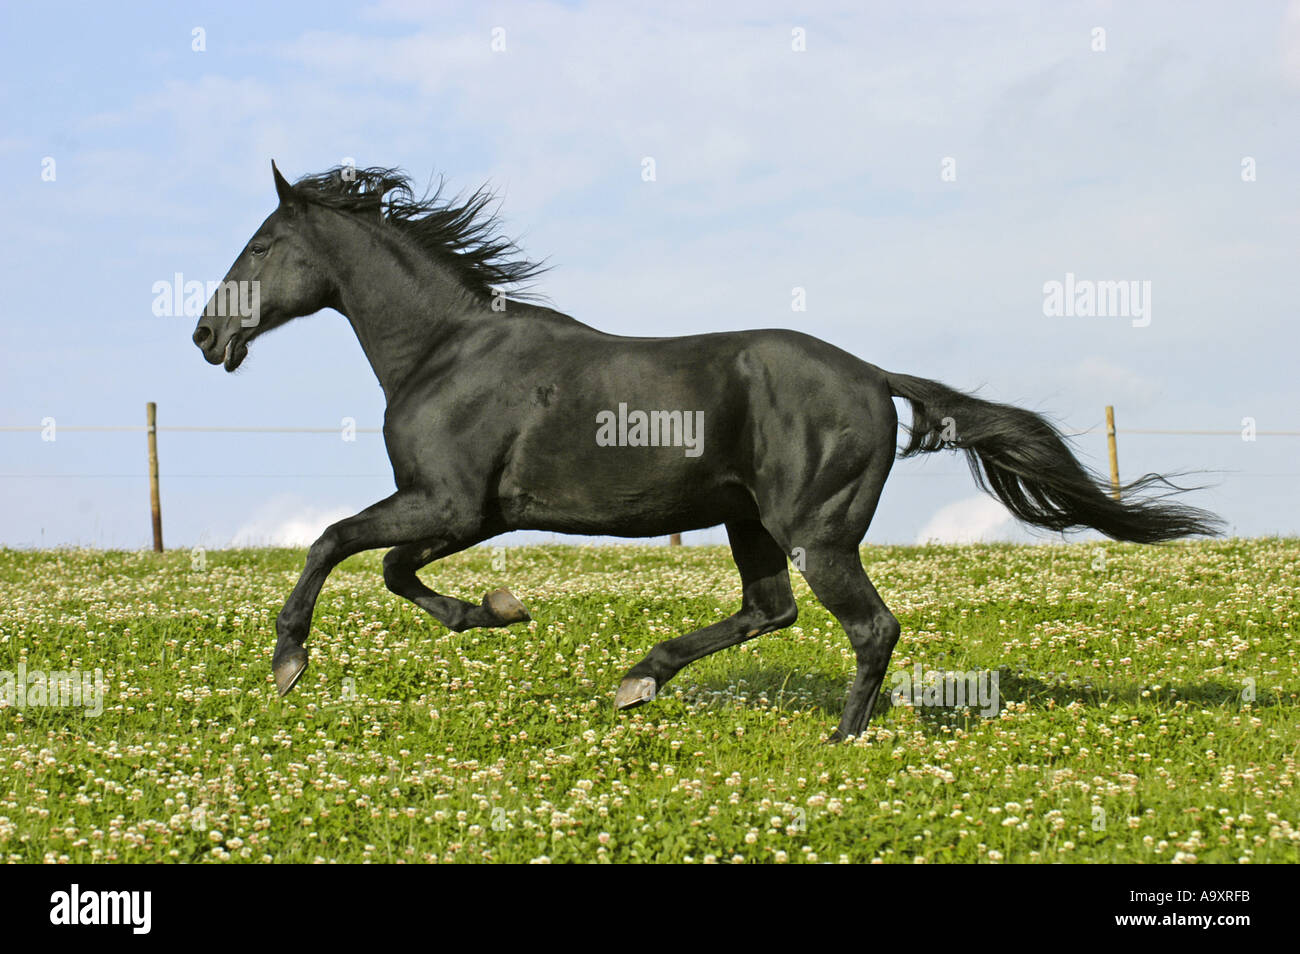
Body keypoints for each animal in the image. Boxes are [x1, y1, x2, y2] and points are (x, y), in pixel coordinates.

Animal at [191, 162, 1219, 741]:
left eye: (260, 245)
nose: (206, 336)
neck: (448, 349)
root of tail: (874, 376)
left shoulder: (451, 503)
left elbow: (336, 543)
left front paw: (289, 662)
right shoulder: (464, 515)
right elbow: (395, 570)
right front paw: (496, 611)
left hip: (815, 532)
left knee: (869, 628)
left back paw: (840, 742)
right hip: (748, 522)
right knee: (771, 611)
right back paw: (640, 680)